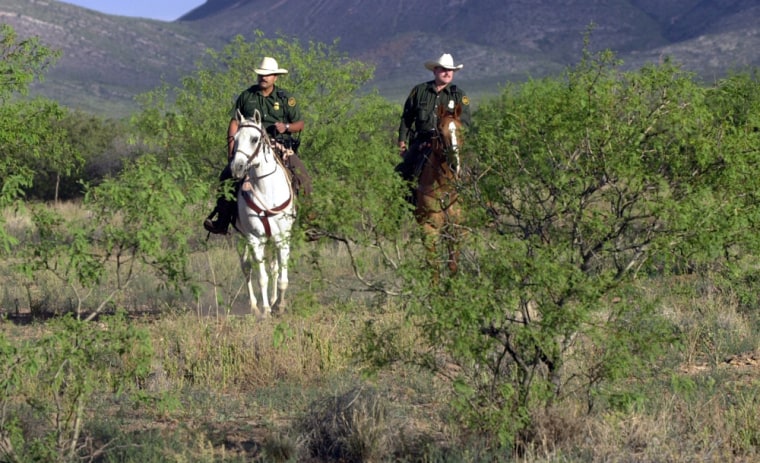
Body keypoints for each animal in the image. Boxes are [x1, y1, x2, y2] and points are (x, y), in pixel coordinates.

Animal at [228, 109, 296, 317]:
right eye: (234, 138)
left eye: (254, 138)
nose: (237, 168)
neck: (267, 190)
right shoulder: (254, 237)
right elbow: (261, 276)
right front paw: (265, 309)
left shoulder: (283, 236)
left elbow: (281, 277)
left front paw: (279, 306)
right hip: (243, 237)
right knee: (246, 266)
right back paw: (254, 306)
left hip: (272, 239)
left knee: (273, 267)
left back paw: (273, 301)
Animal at [415, 103, 464, 276]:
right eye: (440, 132)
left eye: (461, 131)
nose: (454, 164)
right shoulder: (429, 228)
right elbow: (434, 266)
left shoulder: (455, 228)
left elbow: (453, 265)